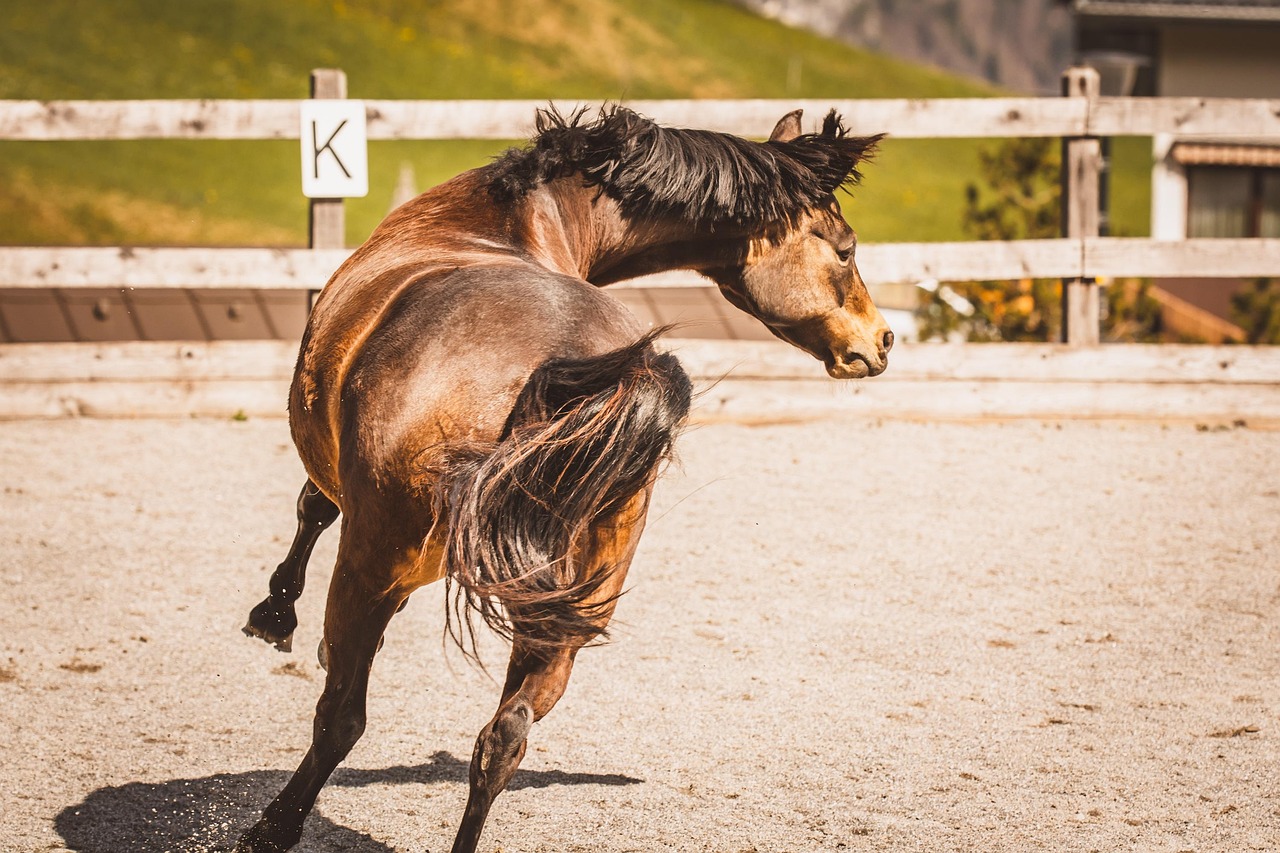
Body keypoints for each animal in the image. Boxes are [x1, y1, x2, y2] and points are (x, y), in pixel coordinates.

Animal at [235, 104, 891, 853]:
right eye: (845, 248)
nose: (880, 340)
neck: (507, 219)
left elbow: (313, 506)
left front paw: (275, 611)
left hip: (376, 564)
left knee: (343, 714)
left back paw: (272, 827)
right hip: (573, 603)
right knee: (503, 738)